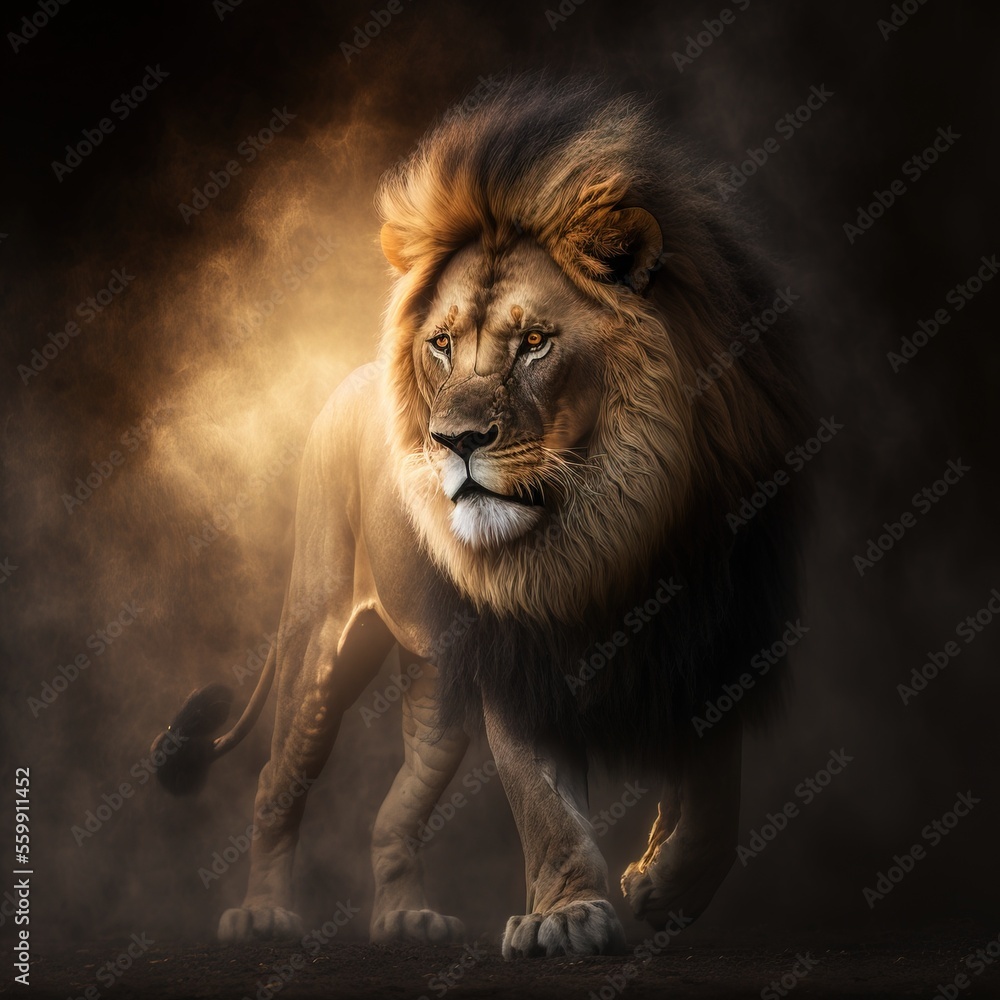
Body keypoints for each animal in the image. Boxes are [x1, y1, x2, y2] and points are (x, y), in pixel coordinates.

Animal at [153, 75, 805, 957]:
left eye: (534, 342)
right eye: (440, 344)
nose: (453, 441)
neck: (606, 526)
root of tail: (346, 377)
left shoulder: (716, 624)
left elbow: (714, 782)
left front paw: (666, 882)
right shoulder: (517, 658)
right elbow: (543, 799)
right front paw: (566, 916)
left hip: (434, 691)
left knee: (393, 808)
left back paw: (404, 918)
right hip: (321, 640)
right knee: (274, 780)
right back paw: (262, 915)